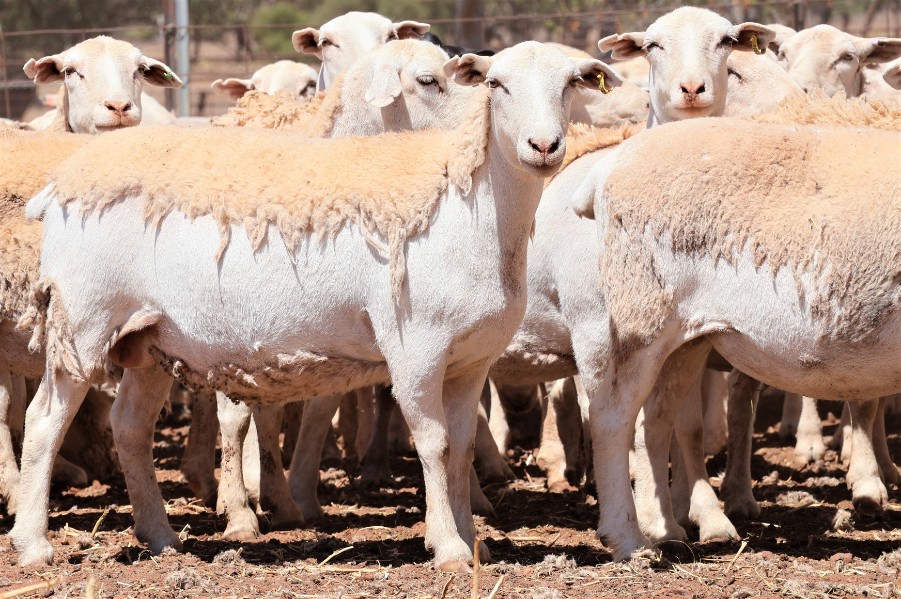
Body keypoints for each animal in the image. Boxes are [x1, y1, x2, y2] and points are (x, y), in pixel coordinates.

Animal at [569, 97, 900, 560]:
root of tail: (611, 164)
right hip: (641, 316)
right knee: (612, 417)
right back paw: (627, 538)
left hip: (685, 338)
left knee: (655, 421)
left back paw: (666, 528)